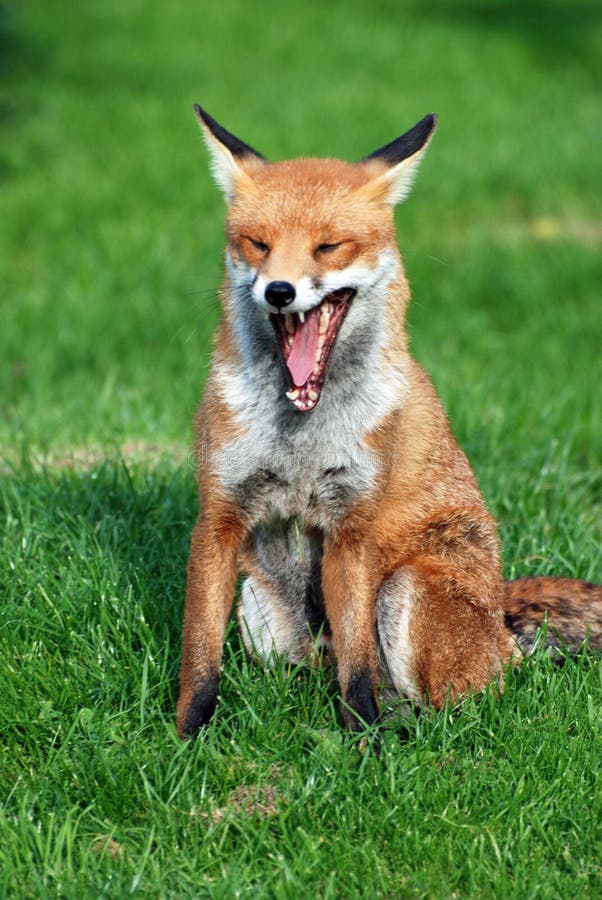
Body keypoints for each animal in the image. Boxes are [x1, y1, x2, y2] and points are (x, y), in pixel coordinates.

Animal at [176, 105, 602, 738]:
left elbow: (359, 671)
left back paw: (402, 728)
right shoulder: (219, 517)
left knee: (450, 707)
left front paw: (362, 742)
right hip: (261, 612)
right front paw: (187, 737)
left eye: (328, 246)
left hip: (407, 590)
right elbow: (200, 655)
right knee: (316, 670)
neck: (300, 430)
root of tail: (500, 624)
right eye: (258, 244)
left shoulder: (352, 527)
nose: (279, 291)